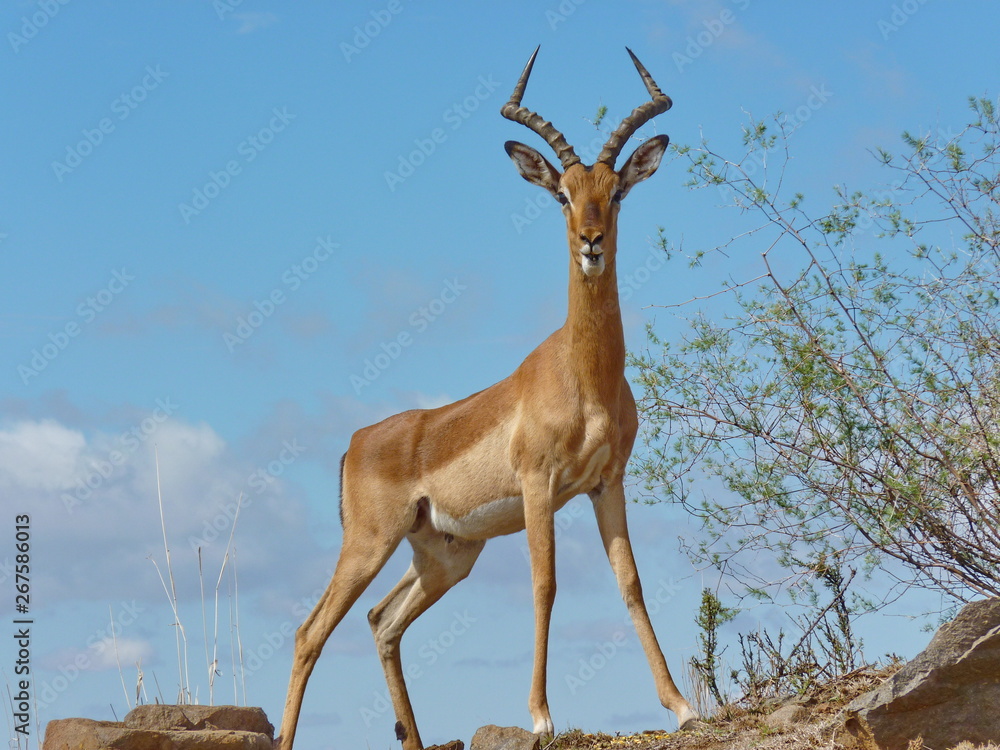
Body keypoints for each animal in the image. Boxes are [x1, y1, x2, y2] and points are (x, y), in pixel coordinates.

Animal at [277, 47, 698, 750]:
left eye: (615, 193)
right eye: (562, 194)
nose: (591, 243)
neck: (586, 379)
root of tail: (356, 442)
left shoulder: (606, 483)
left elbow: (632, 584)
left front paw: (683, 705)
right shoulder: (538, 485)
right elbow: (545, 584)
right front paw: (542, 715)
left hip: (445, 556)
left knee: (381, 621)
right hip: (368, 544)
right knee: (311, 631)